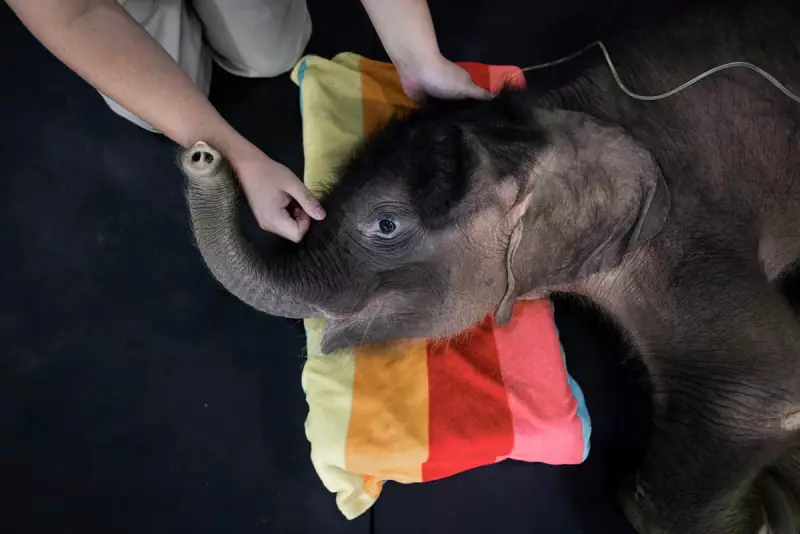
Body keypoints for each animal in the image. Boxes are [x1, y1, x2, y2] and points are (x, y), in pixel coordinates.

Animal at [179, 0, 800, 532]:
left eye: (386, 226)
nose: (202, 154)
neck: (557, 117)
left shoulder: (685, 228)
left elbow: (760, 395)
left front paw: (768, 513)